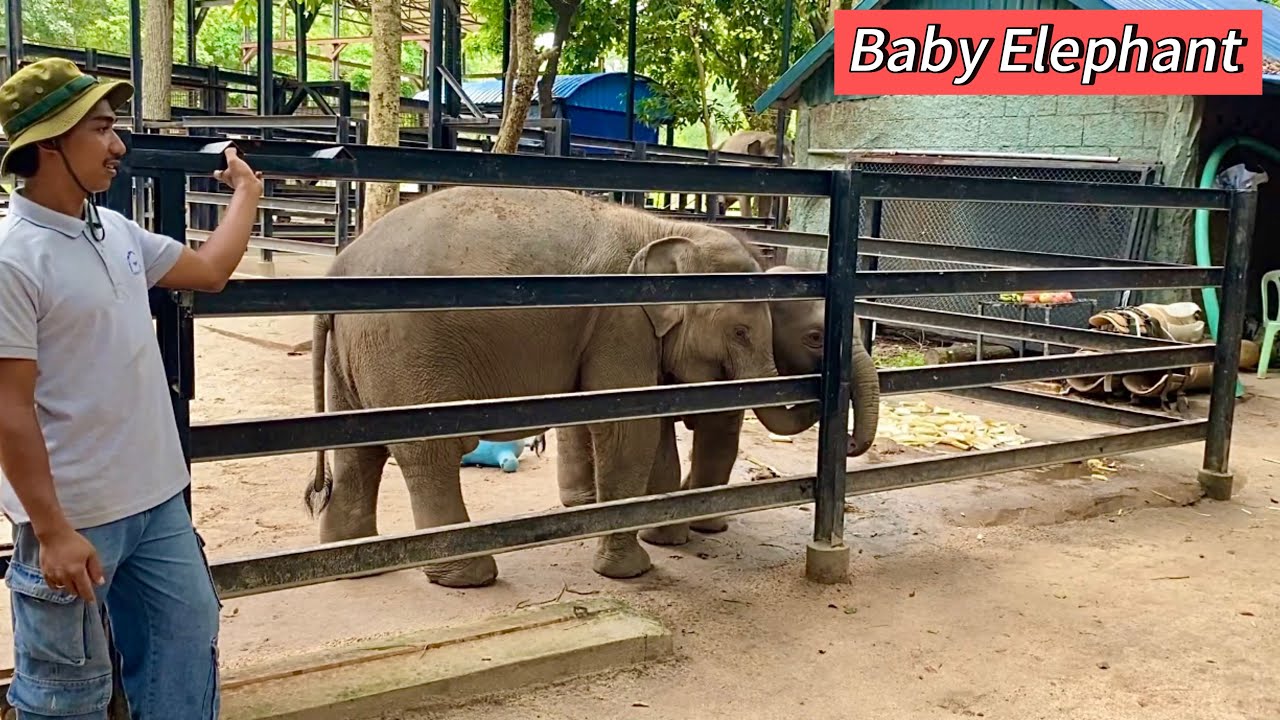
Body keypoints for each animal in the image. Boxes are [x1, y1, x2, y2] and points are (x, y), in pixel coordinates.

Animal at [304, 185, 826, 588]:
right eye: (740, 332)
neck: (662, 230)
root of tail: (340, 267)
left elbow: (648, 422)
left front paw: (663, 540)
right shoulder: (620, 322)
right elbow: (628, 428)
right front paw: (632, 571)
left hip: (357, 354)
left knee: (357, 449)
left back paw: (353, 567)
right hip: (404, 349)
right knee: (430, 452)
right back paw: (471, 577)